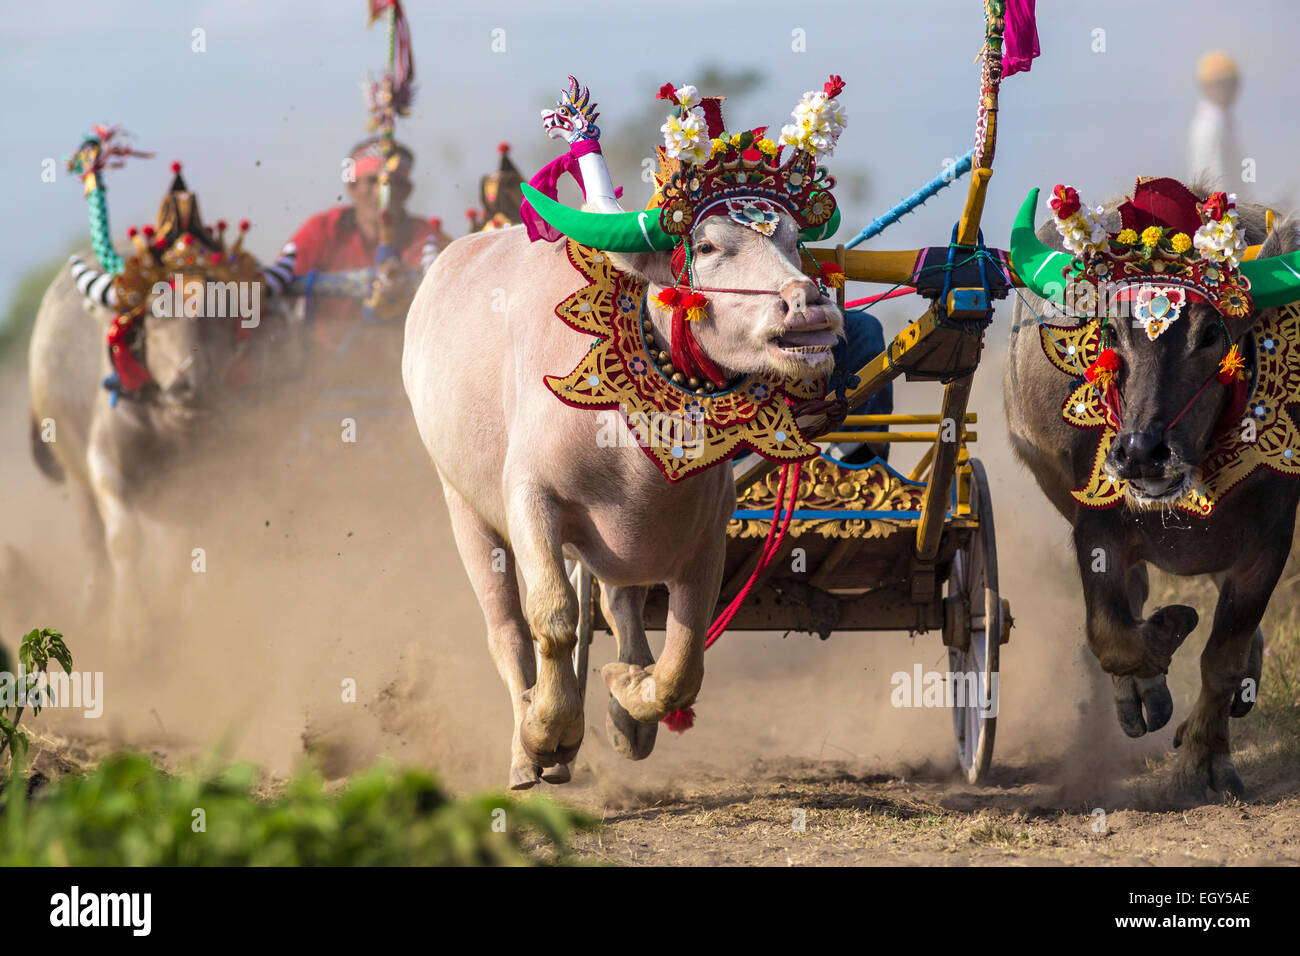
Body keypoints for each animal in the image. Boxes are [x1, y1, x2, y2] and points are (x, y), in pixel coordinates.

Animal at [1004, 178, 1300, 803]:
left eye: (1211, 334)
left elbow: (1223, 658)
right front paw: (1165, 642)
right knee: (1133, 600)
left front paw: (1203, 765)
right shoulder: (1095, 526)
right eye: (1113, 332)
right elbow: (1112, 635)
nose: (1140, 452)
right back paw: (1143, 697)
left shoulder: (1270, 541)